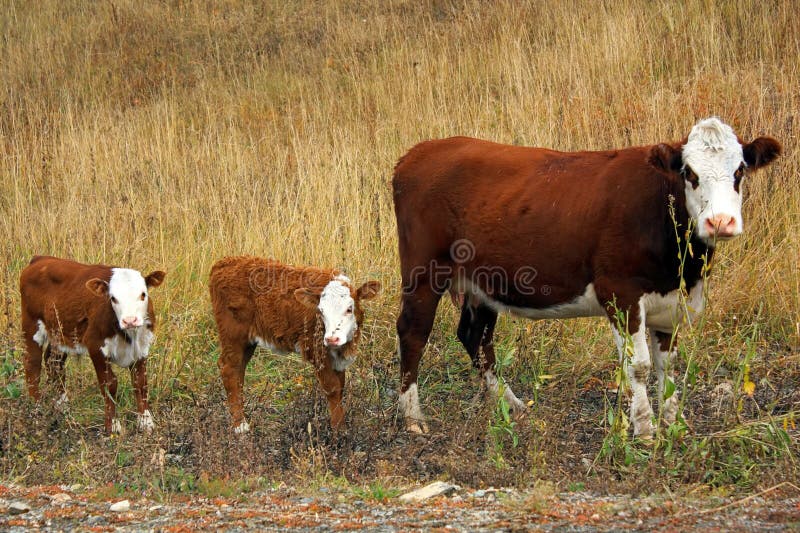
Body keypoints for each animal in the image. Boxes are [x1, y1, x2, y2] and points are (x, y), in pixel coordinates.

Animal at [20, 256, 166, 434]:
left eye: (143, 295)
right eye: (113, 298)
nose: (130, 320)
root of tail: (40, 259)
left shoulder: (141, 347)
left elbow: (140, 382)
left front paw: (146, 422)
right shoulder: (96, 346)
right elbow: (109, 384)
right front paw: (113, 425)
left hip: (60, 332)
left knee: (53, 363)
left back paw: (63, 405)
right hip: (31, 324)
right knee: (32, 365)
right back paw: (37, 411)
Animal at [209, 256, 381, 433]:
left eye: (349, 309)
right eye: (321, 311)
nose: (331, 339)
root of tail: (224, 262)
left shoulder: (339, 357)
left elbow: (340, 386)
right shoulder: (315, 350)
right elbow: (332, 387)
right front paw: (338, 429)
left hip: (247, 342)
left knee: (238, 370)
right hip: (233, 335)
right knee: (229, 369)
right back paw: (240, 425)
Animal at [392, 117, 781, 437]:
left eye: (740, 170)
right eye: (689, 172)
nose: (720, 222)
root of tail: (420, 151)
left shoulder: (669, 302)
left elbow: (666, 366)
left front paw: (674, 422)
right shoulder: (620, 292)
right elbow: (638, 366)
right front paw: (645, 429)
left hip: (483, 281)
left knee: (476, 337)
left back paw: (512, 405)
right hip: (424, 272)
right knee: (414, 332)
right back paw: (413, 416)